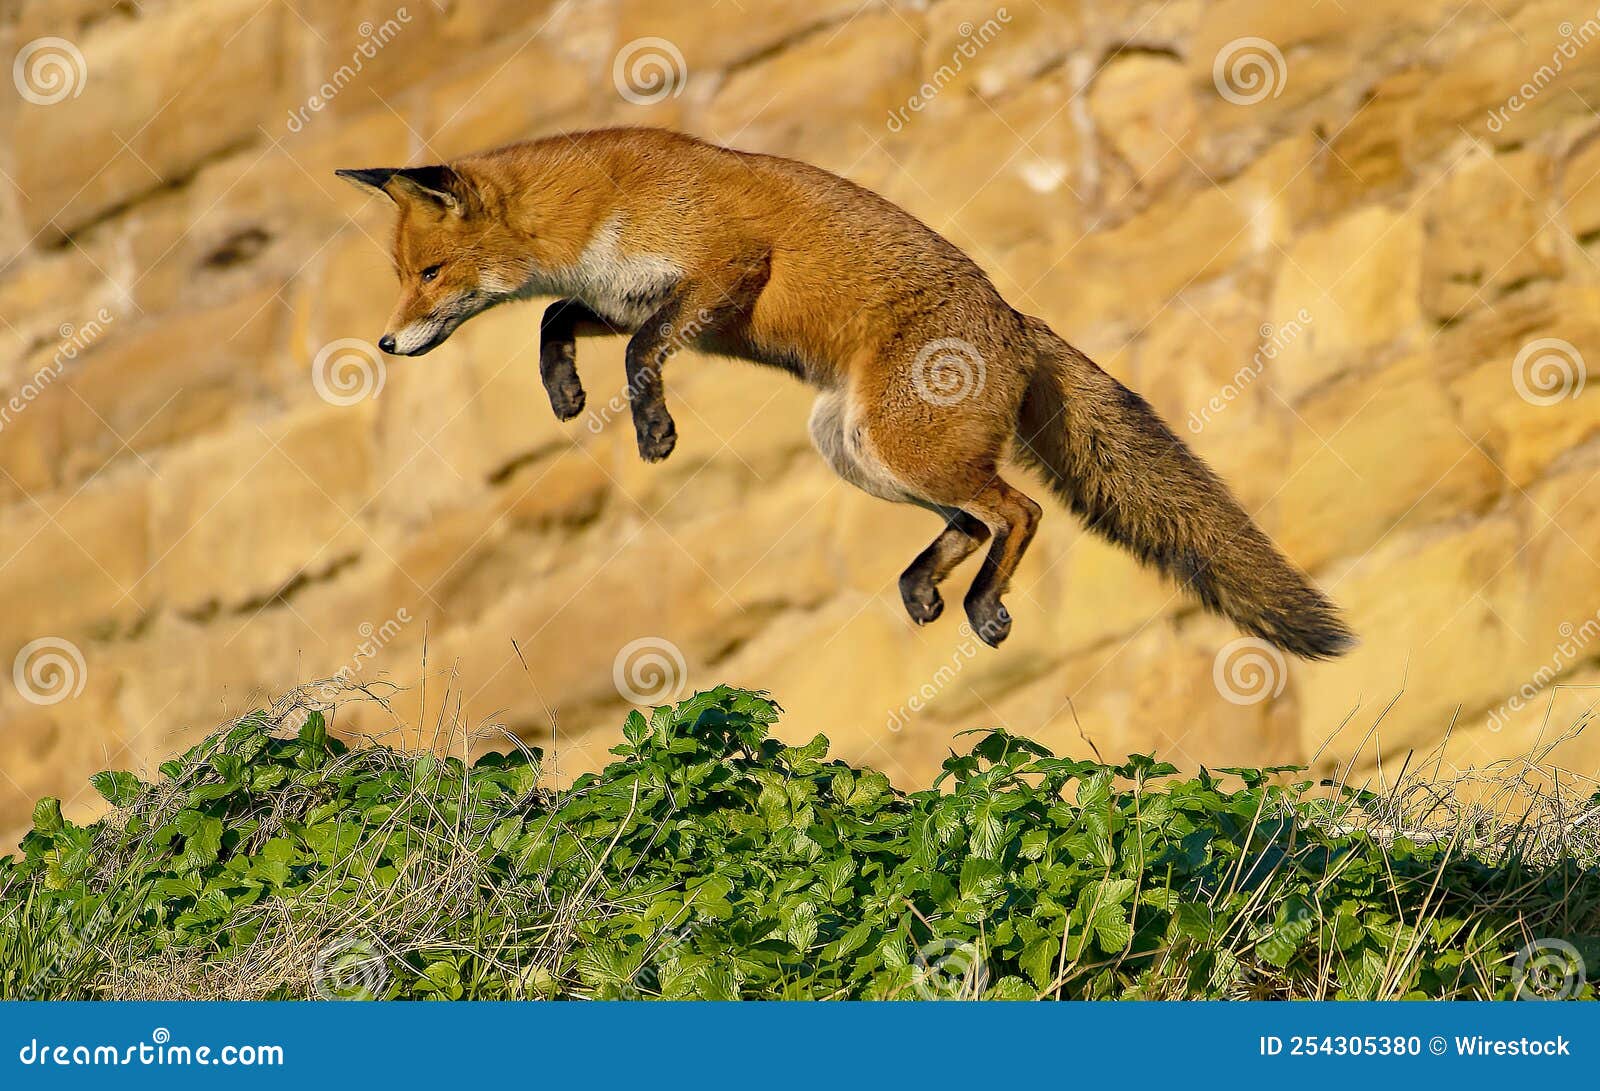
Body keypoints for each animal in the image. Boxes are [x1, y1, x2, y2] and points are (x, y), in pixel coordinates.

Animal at [337, 127, 1354, 657]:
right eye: (402, 277)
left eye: (429, 273)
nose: (384, 341)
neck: (604, 203)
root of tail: (1017, 317)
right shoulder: (626, 298)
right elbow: (556, 321)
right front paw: (562, 395)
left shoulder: (721, 271)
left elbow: (639, 356)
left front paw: (653, 429)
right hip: (853, 443)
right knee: (974, 518)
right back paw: (928, 586)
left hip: (898, 440)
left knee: (1017, 510)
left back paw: (979, 600)